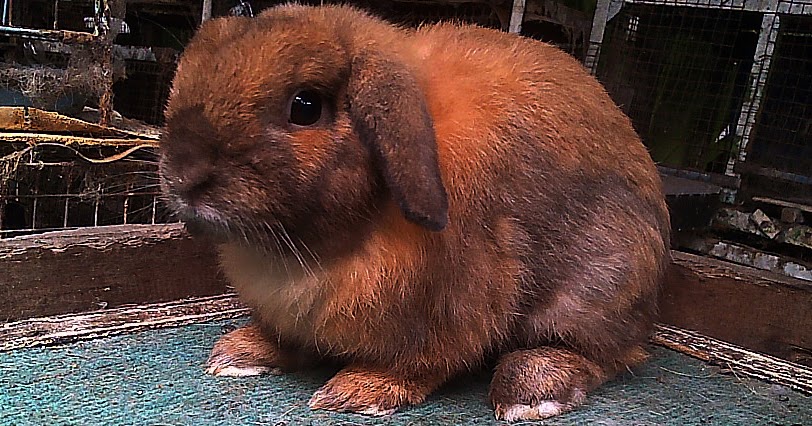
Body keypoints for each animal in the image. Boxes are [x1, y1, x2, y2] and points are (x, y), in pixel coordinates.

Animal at [158, 3, 671, 422]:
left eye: (305, 106)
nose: (182, 175)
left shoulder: (453, 306)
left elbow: (421, 361)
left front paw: (358, 391)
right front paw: (238, 353)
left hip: (597, 286)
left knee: (603, 355)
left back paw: (529, 391)